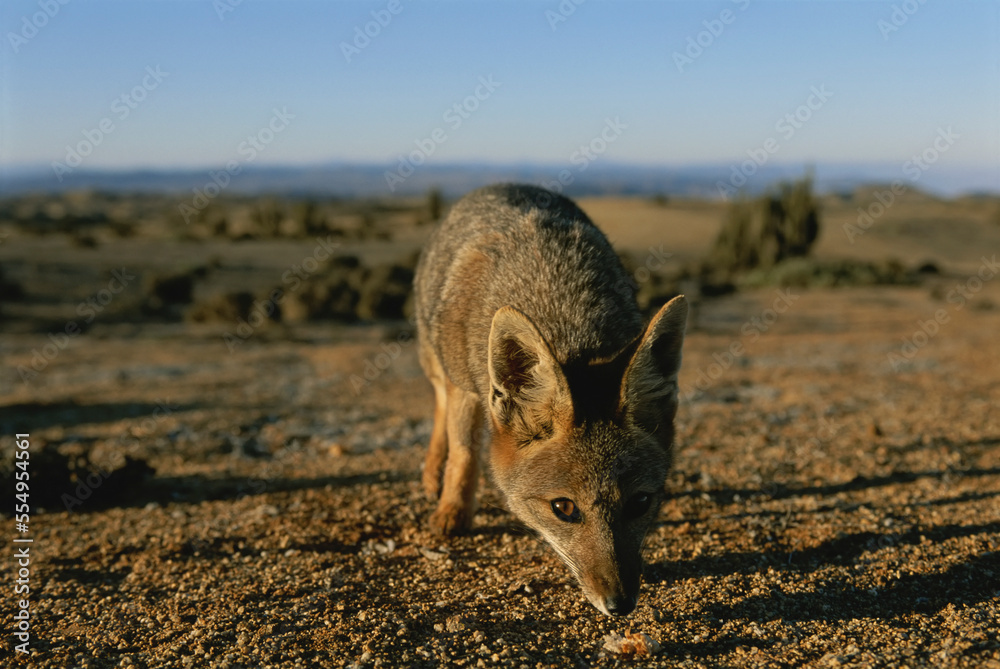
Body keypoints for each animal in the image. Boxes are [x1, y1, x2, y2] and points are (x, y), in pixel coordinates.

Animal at [414, 184, 687, 616]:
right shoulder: (463, 386)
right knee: (442, 407)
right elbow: (465, 451)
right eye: (564, 509)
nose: (621, 604)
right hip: (436, 361)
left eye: (640, 503)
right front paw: (453, 510)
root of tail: (502, 185)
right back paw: (432, 474)